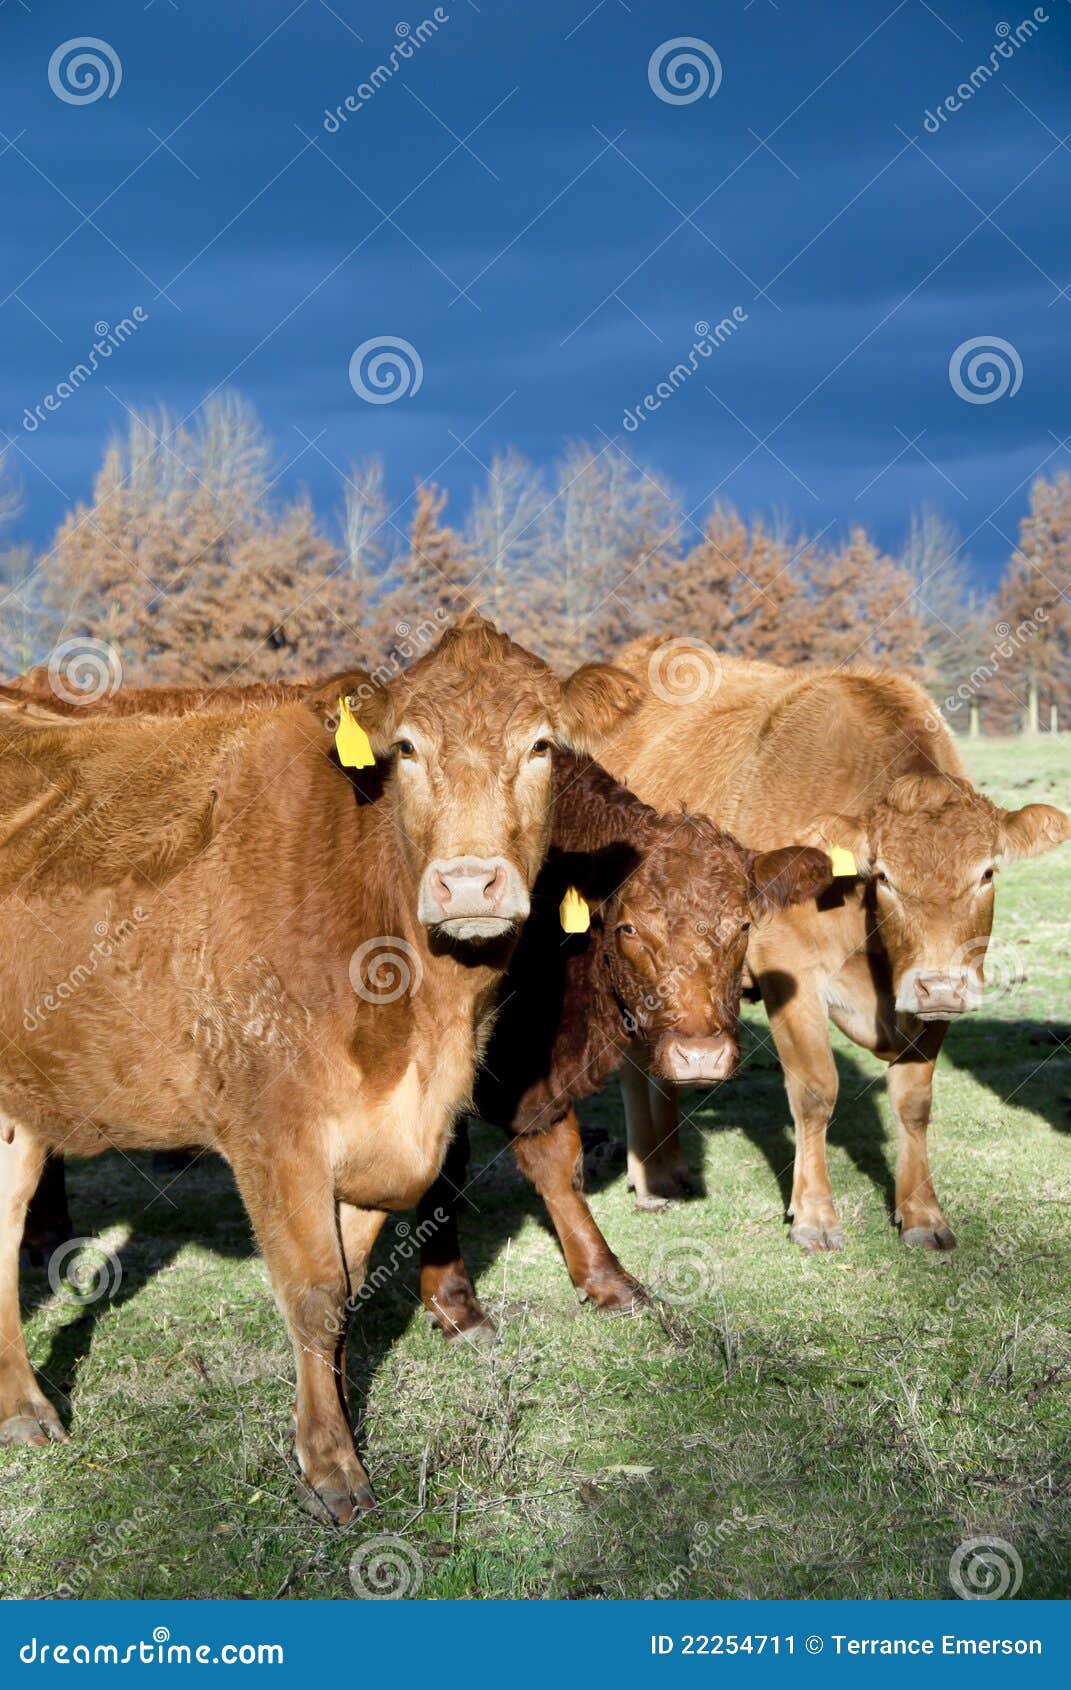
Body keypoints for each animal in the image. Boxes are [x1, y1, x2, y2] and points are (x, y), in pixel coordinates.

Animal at [0, 618, 640, 1523]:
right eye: (406, 748)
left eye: (541, 745)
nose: (468, 883)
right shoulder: (275, 1131)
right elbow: (313, 1294)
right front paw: (331, 1468)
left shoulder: (378, 1141)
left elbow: (347, 1292)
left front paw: (331, 1421)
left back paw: (22, 1408)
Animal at [418, 750, 832, 1336]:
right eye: (630, 928)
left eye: (743, 925)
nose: (700, 1055)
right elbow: (439, 1171)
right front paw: (453, 1300)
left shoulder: (535, 1076)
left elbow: (558, 1163)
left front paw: (605, 1278)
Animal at [592, 643, 1071, 1252]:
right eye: (884, 876)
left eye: (987, 872)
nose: (940, 984)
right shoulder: (789, 971)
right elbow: (816, 1091)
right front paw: (815, 1216)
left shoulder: (935, 995)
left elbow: (914, 1102)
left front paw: (923, 1215)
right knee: (636, 1061)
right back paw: (650, 1177)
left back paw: (672, 1167)